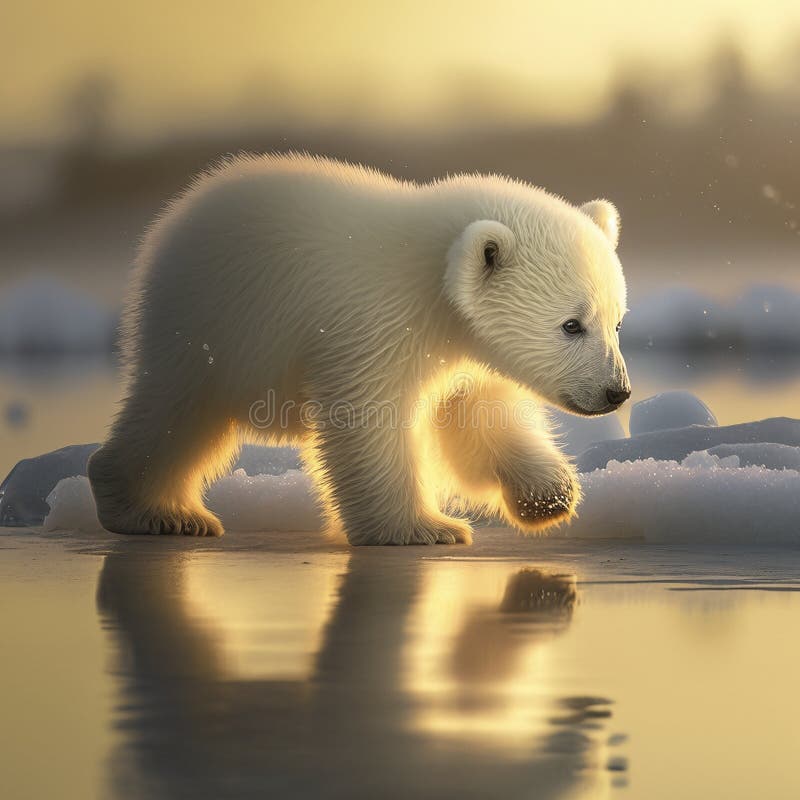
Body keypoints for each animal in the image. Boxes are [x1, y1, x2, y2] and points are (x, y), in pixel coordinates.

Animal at [88, 153, 630, 545]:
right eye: (571, 325)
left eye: (617, 320)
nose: (617, 392)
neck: (429, 281)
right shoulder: (371, 326)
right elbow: (367, 423)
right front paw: (423, 528)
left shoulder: (461, 352)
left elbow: (476, 418)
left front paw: (550, 495)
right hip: (209, 324)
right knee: (179, 413)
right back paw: (157, 511)